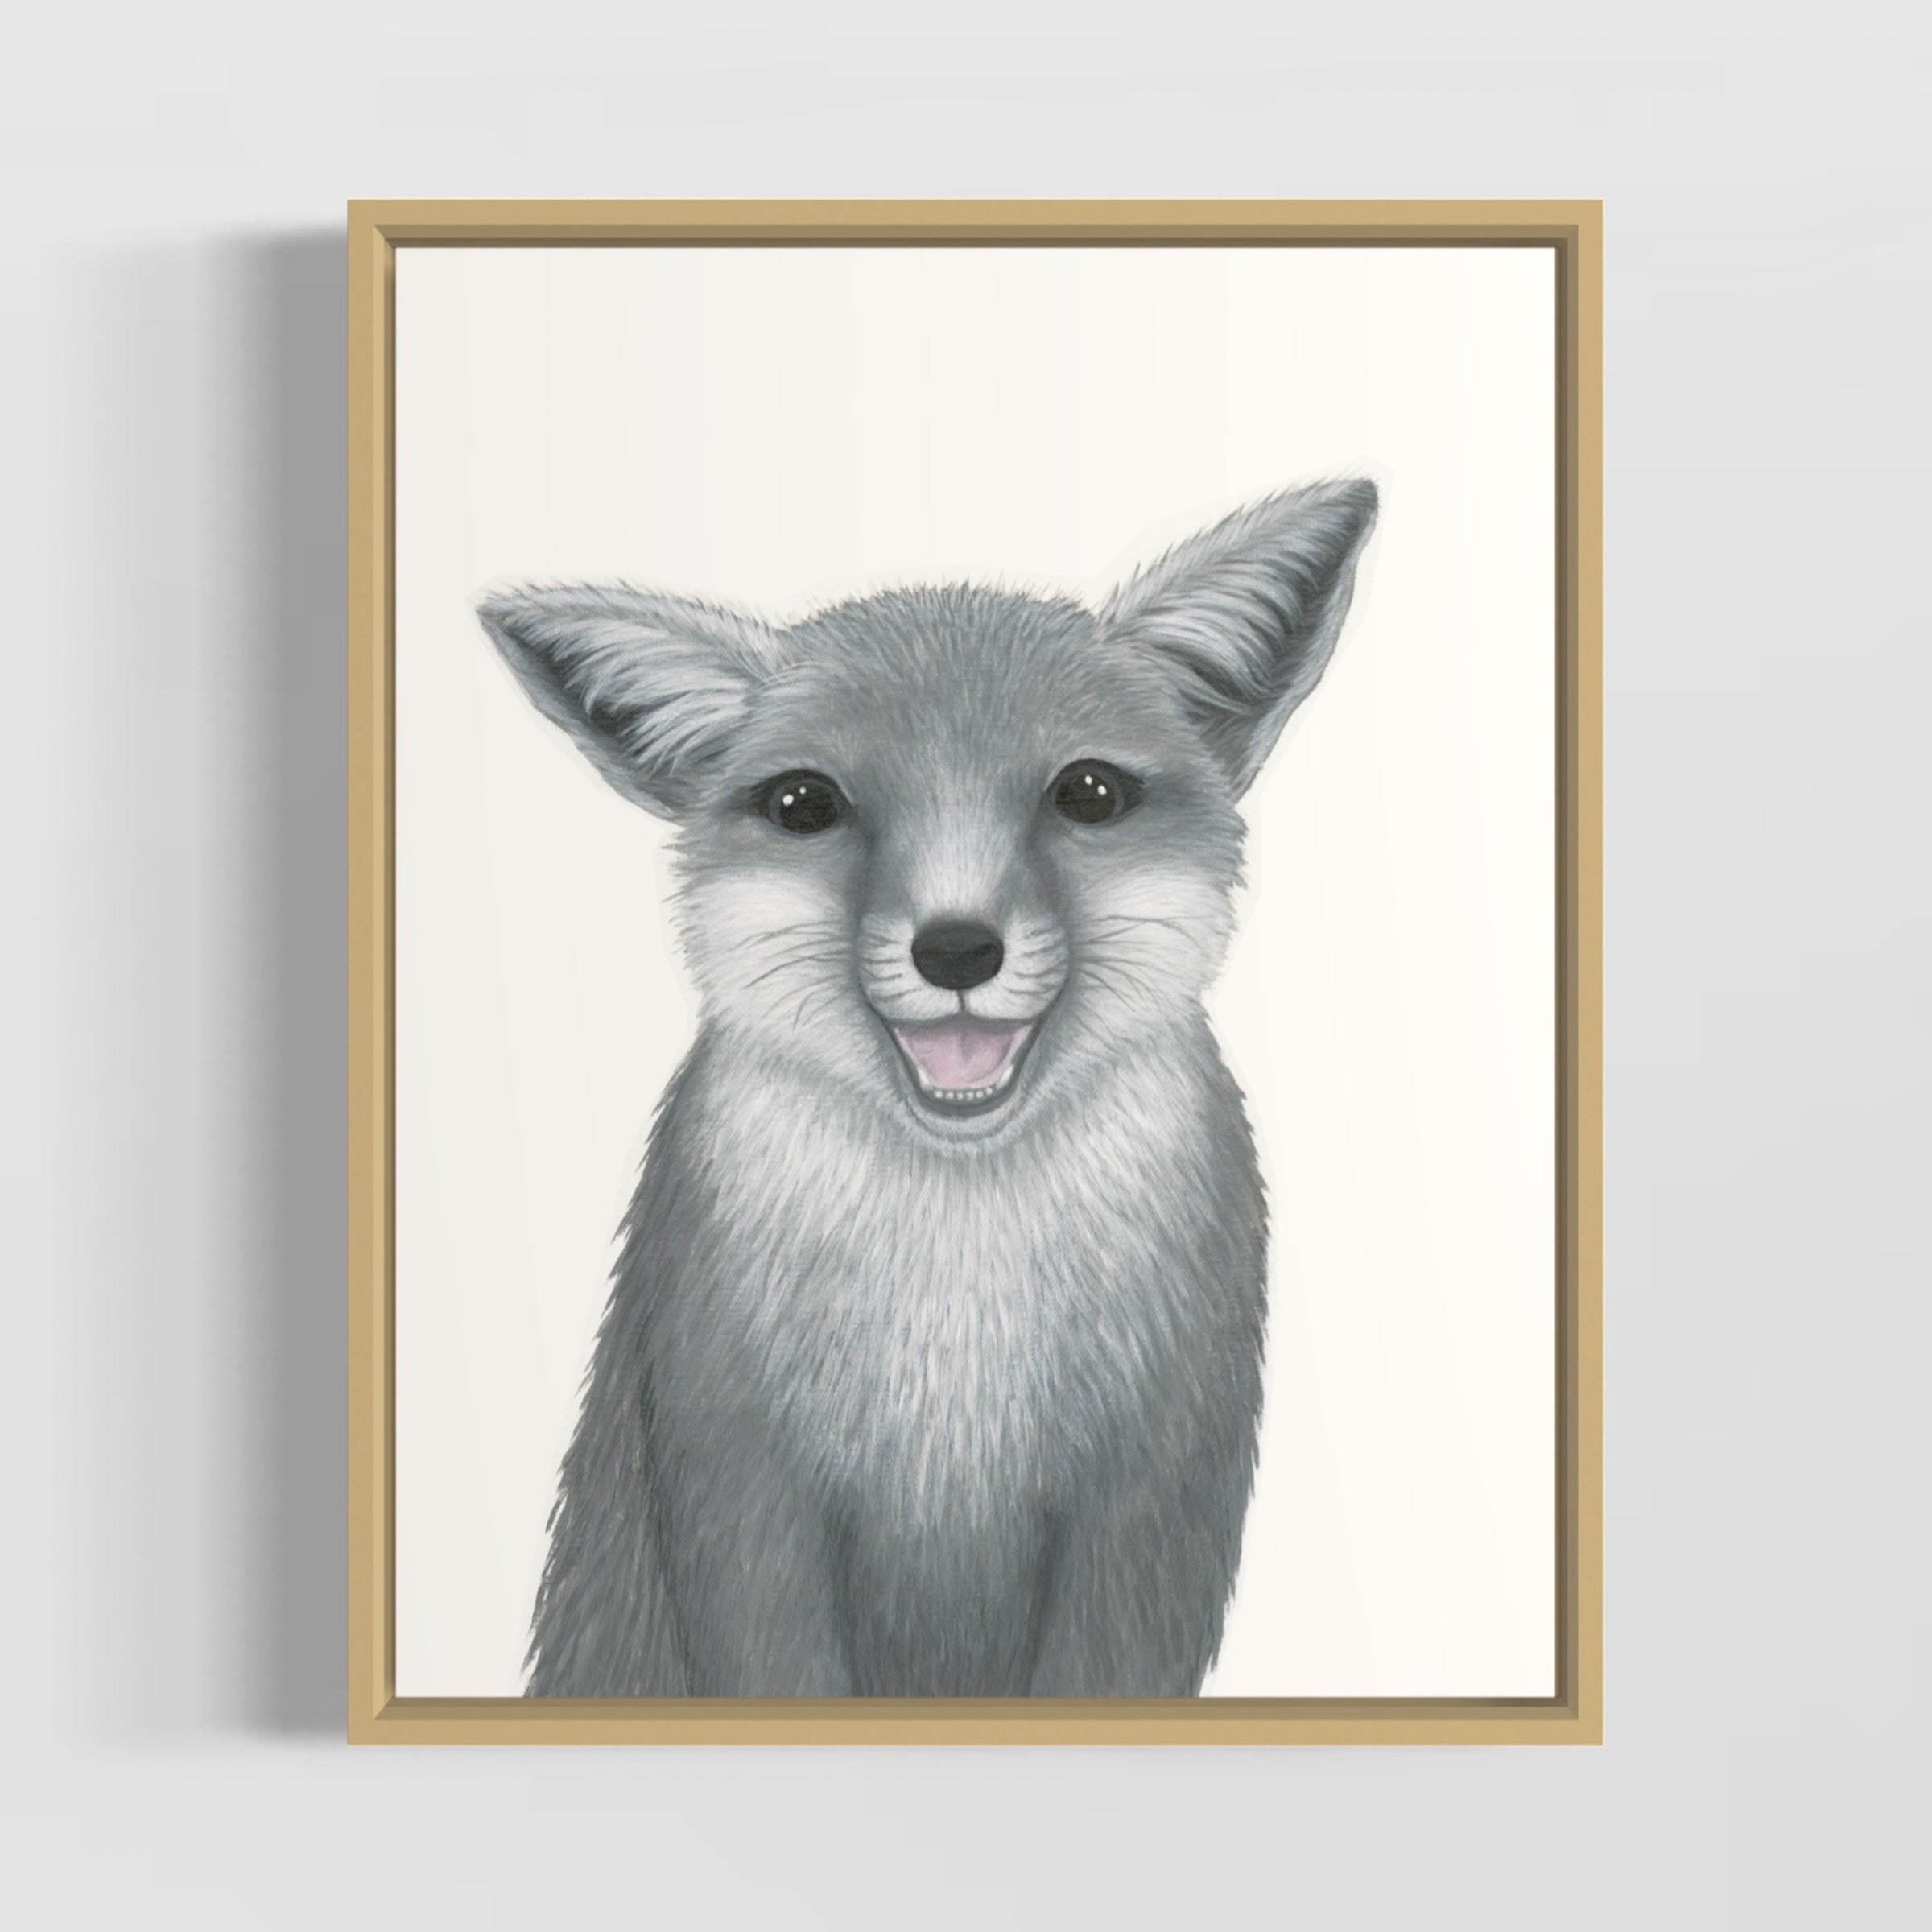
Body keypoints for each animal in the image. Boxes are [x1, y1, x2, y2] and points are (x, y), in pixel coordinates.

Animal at [477, 478, 1377, 1697]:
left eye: (1088, 792)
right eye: (805, 804)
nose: (957, 950)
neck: (960, 1318)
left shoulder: (1158, 1490)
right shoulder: (732, 1474)